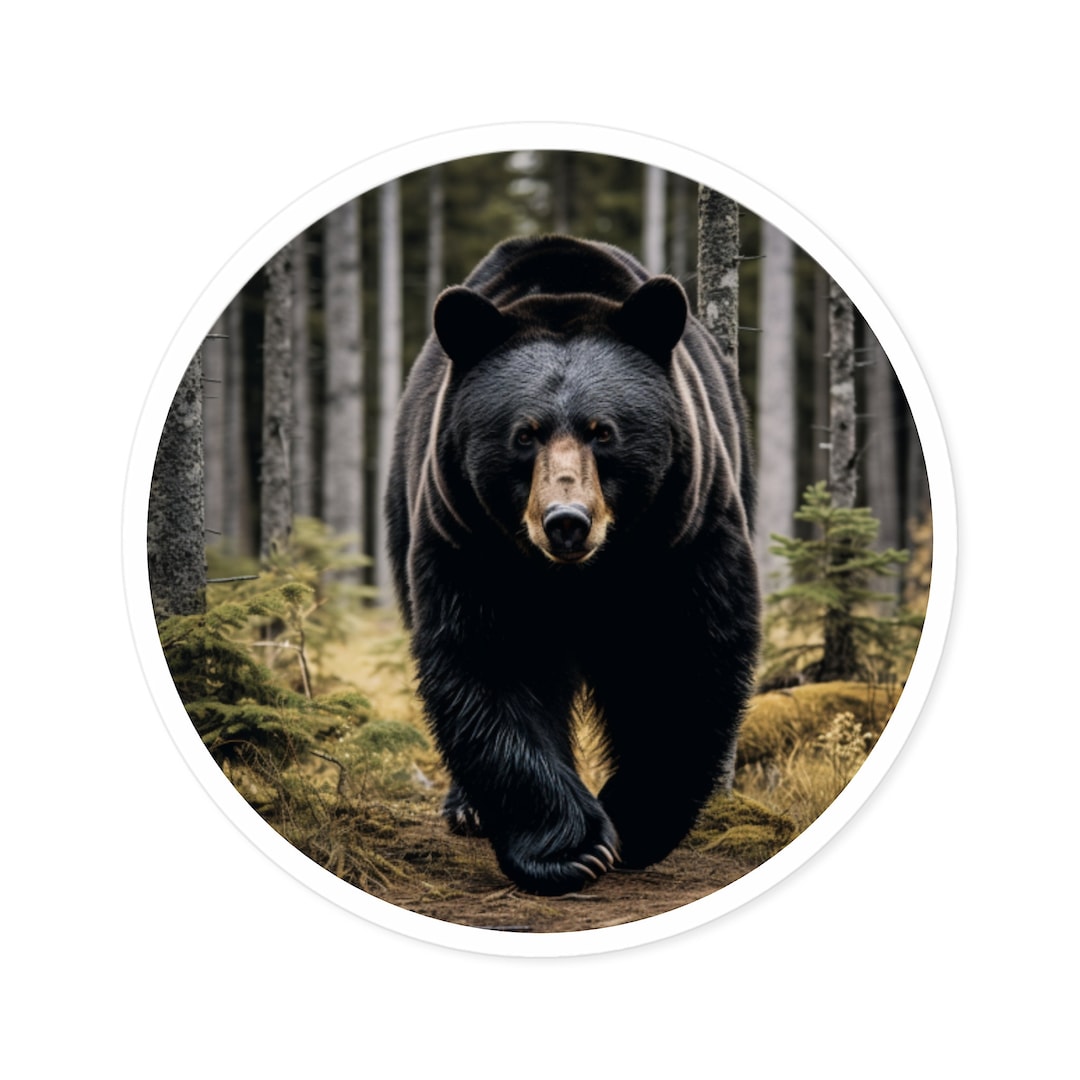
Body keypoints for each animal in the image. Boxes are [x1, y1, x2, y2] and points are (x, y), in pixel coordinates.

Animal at [385, 235, 760, 897]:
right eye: (524, 434)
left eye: (602, 431)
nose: (566, 521)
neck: (578, 577)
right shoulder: (471, 542)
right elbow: (490, 662)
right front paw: (572, 847)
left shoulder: (681, 535)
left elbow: (682, 658)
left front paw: (637, 819)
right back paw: (469, 807)